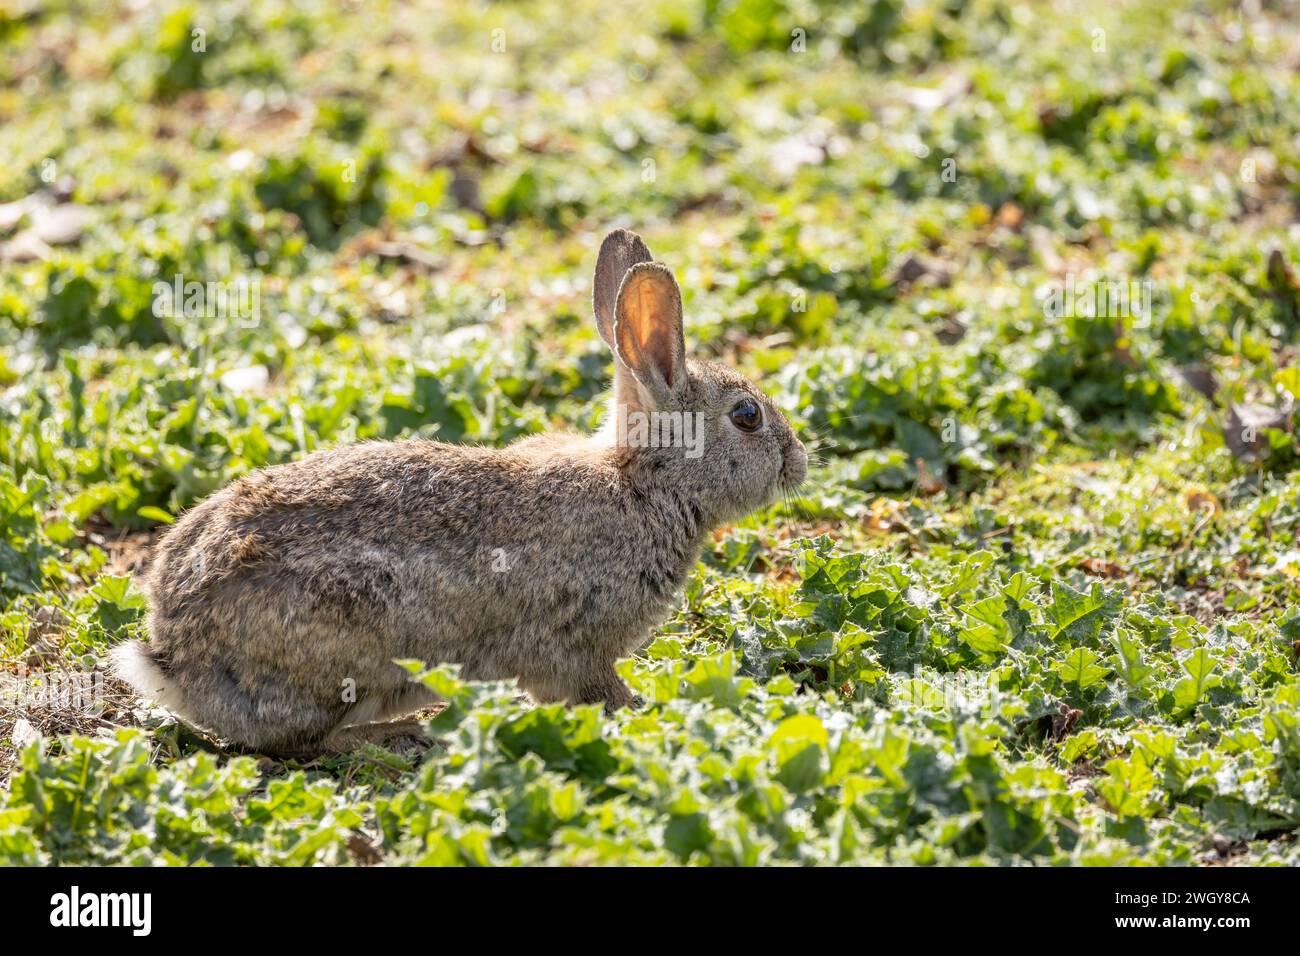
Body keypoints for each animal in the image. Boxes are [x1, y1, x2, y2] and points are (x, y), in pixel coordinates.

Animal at [110, 229, 808, 754]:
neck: (641, 483)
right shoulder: (578, 644)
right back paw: (394, 734)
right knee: (301, 742)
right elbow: (595, 688)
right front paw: (643, 710)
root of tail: (174, 655)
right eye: (747, 416)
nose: (799, 461)